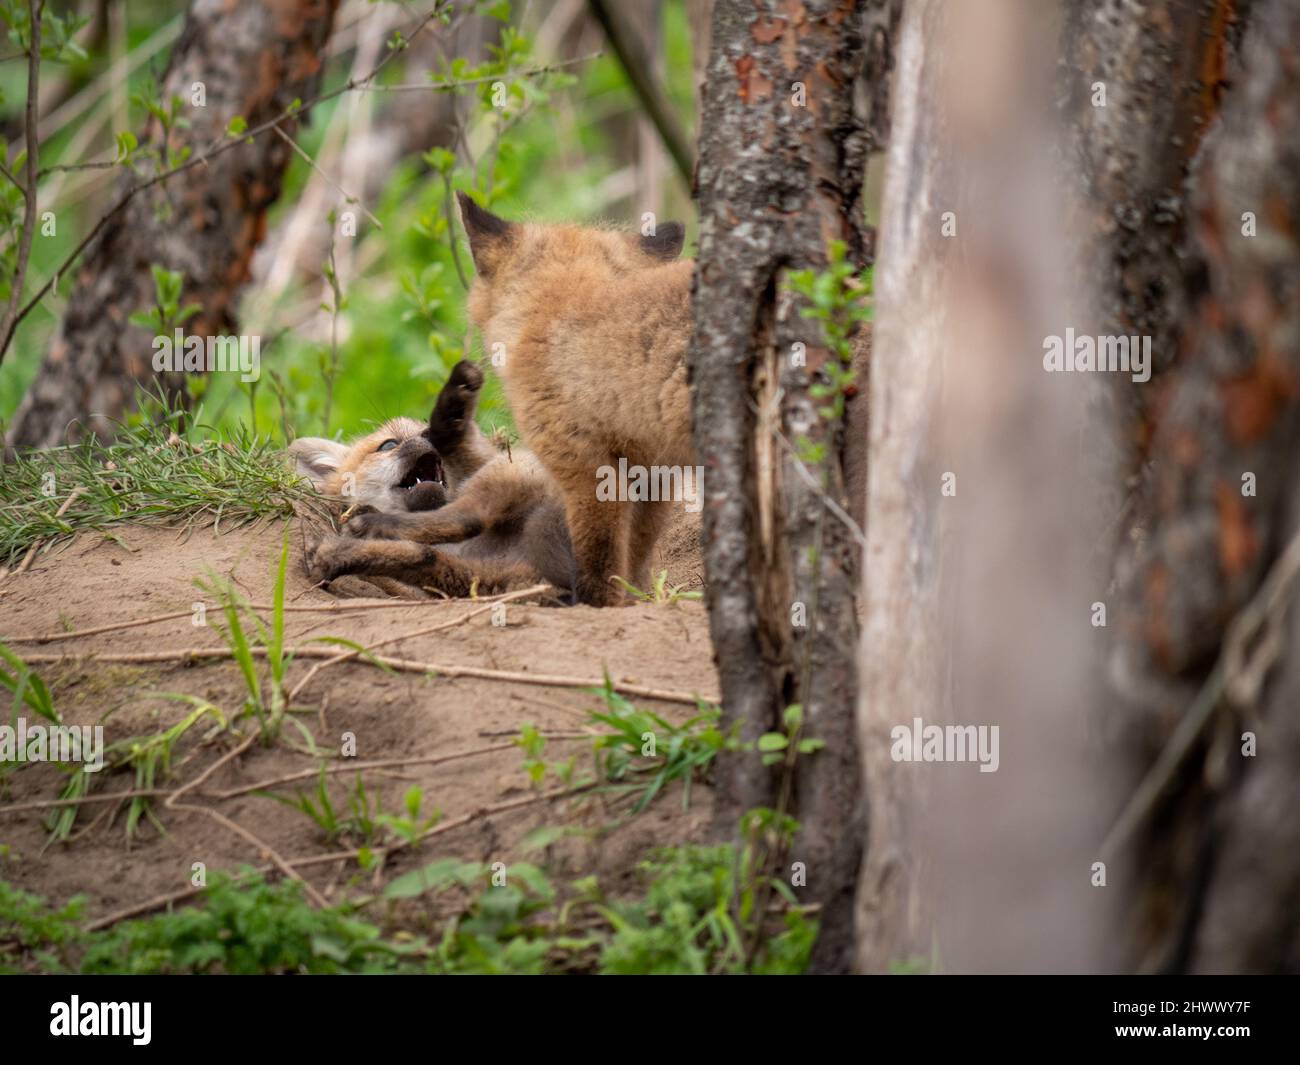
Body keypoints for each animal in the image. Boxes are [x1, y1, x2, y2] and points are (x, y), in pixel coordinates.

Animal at [291, 360, 575, 598]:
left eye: (421, 431)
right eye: (389, 444)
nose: (428, 436)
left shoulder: (490, 462)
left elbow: (472, 455)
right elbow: (423, 555)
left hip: (511, 471)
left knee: (466, 516)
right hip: (482, 574)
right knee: (430, 550)